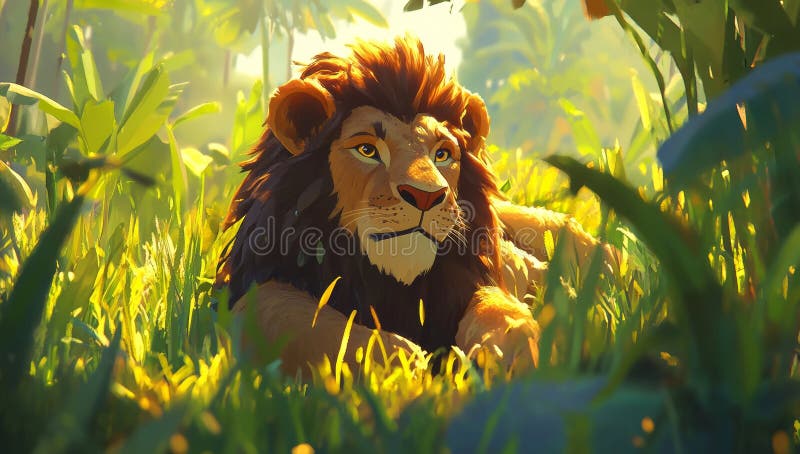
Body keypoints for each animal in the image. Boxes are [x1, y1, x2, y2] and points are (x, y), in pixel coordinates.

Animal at [216, 36, 615, 376]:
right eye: (367, 149)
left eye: (442, 154)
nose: (426, 196)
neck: (394, 282)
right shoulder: (256, 284)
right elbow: (287, 315)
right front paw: (405, 363)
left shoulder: (473, 277)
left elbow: (498, 308)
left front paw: (515, 352)